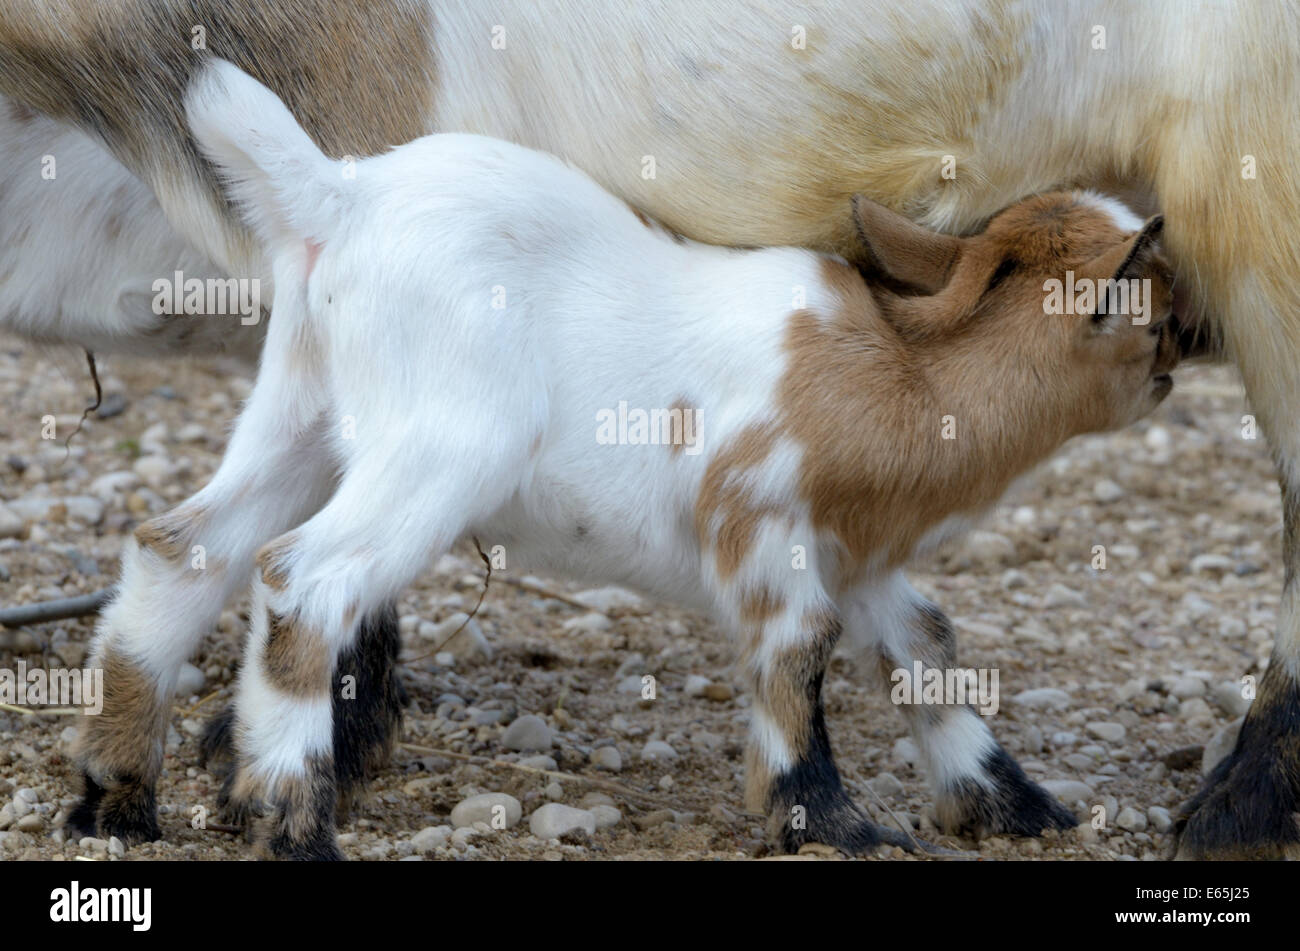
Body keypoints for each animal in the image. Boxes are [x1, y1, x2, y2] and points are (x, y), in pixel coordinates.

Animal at [0, 0, 1291, 859]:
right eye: (1145, 297)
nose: (1196, 328)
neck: (905, 368)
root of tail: (343, 195)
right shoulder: (765, 525)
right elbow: (794, 660)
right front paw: (829, 820)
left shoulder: (860, 551)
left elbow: (923, 642)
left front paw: (1009, 802)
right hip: (434, 448)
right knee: (301, 576)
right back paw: (288, 818)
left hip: (306, 412)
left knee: (186, 547)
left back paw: (116, 796)